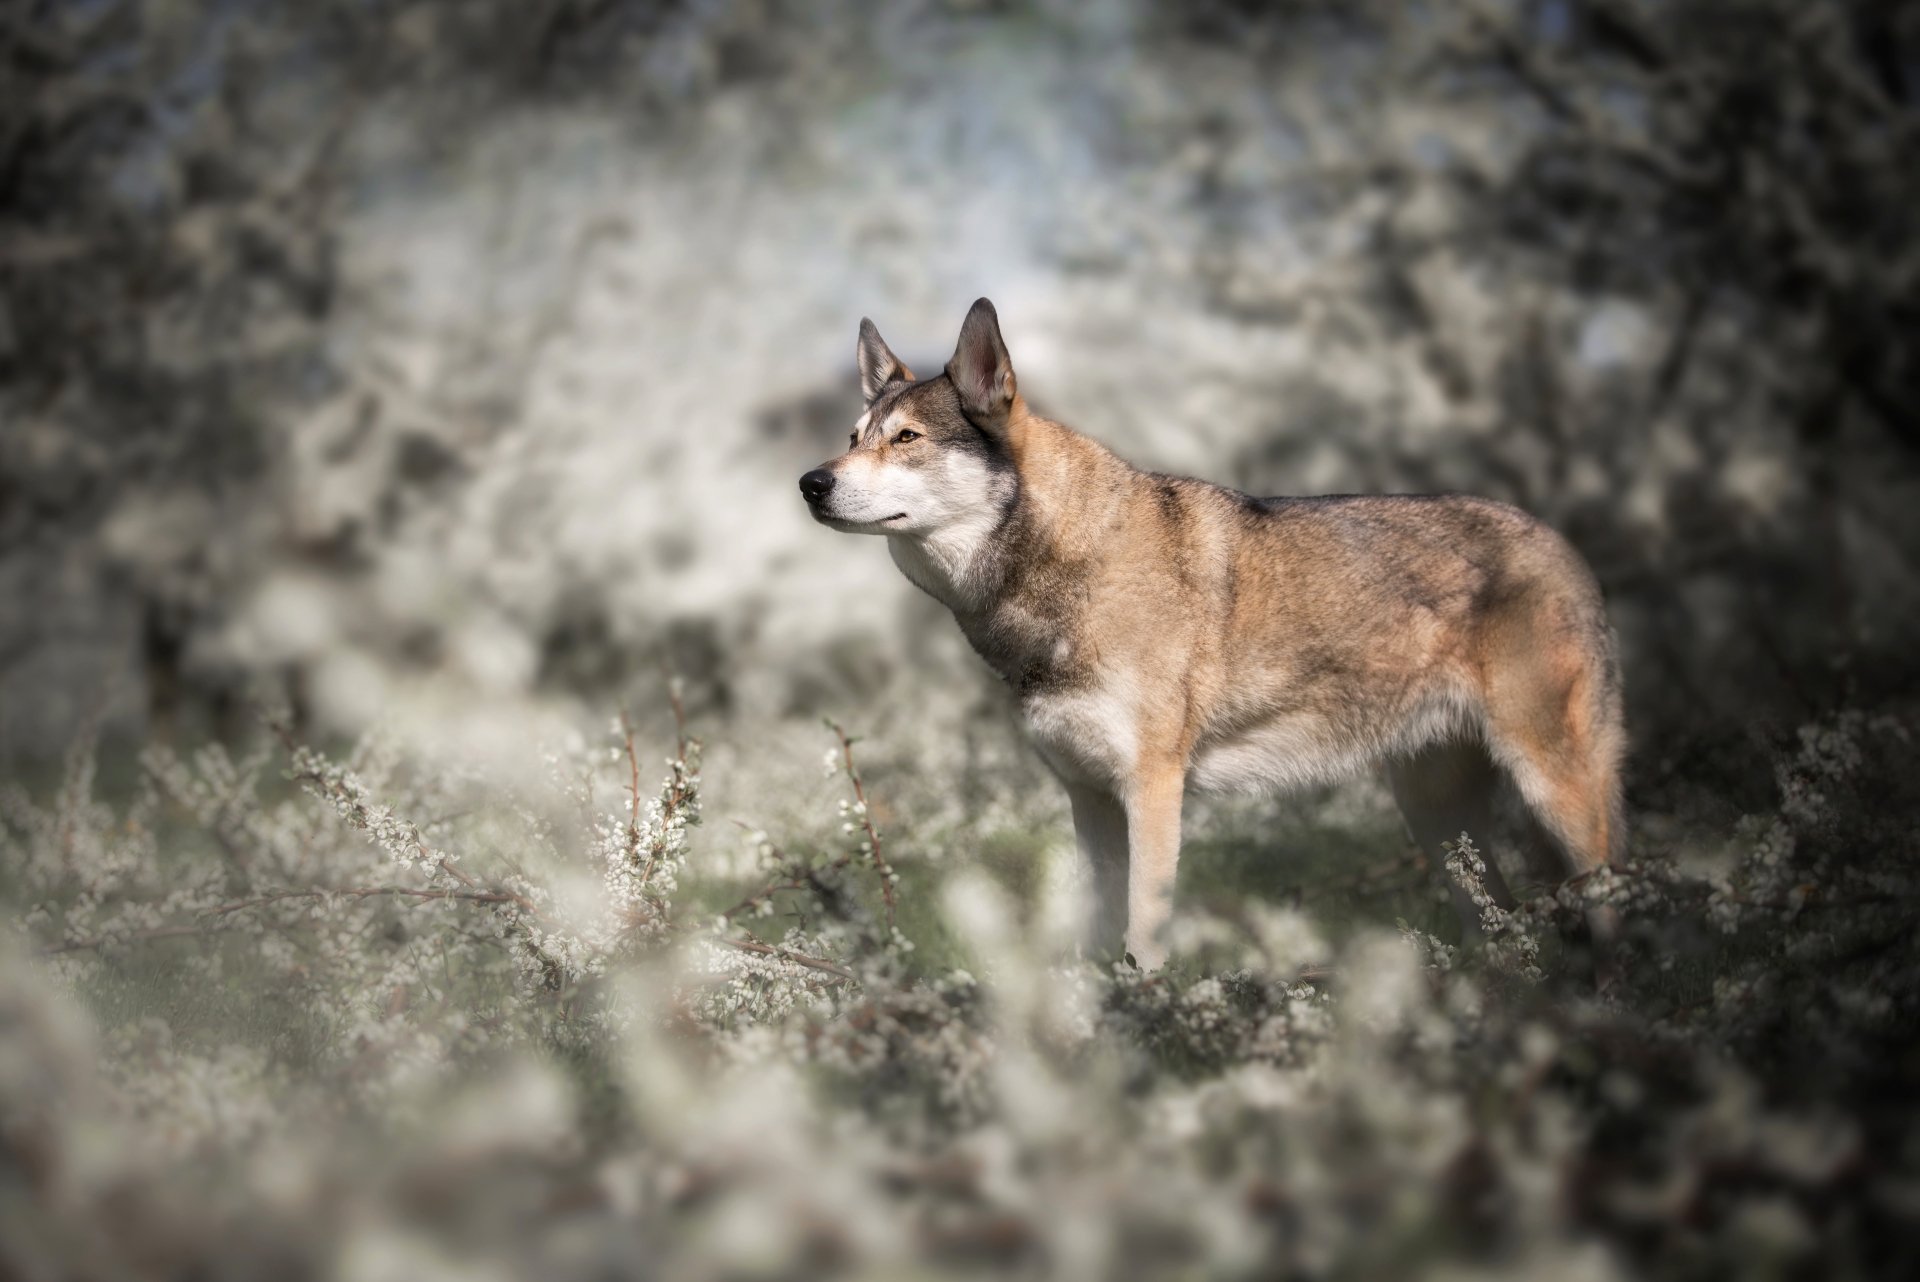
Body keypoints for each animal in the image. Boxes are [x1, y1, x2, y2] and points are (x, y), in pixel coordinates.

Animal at [800, 299, 1625, 969]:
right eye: (852, 436)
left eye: (906, 438)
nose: (811, 482)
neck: (1066, 569)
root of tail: (1568, 548)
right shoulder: (1088, 800)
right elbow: (1095, 938)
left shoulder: (1152, 790)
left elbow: (1143, 935)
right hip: (1436, 820)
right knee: (1503, 923)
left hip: (1555, 796)